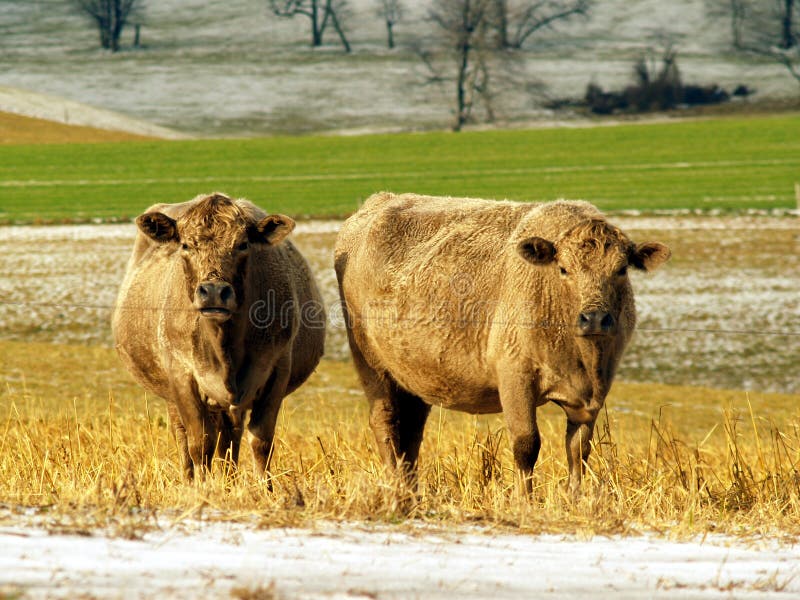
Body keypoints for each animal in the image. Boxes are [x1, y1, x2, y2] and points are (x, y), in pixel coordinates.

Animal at [113, 192, 325, 481]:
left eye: (243, 244)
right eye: (186, 245)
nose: (213, 291)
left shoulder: (277, 369)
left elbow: (261, 442)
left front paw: (265, 486)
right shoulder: (182, 375)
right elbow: (199, 443)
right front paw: (203, 486)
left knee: (229, 442)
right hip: (174, 396)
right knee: (186, 437)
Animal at [334, 192, 670, 493]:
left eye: (621, 270)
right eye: (563, 269)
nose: (595, 317)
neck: (582, 359)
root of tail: (378, 202)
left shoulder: (592, 397)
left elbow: (579, 450)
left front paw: (575, 497)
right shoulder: (515, 378)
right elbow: (527, 444)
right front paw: (525, 501)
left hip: (414, 375)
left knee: (411, 430)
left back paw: (411, 489)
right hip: (372, 365)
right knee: (386, 422)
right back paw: (396, 488)